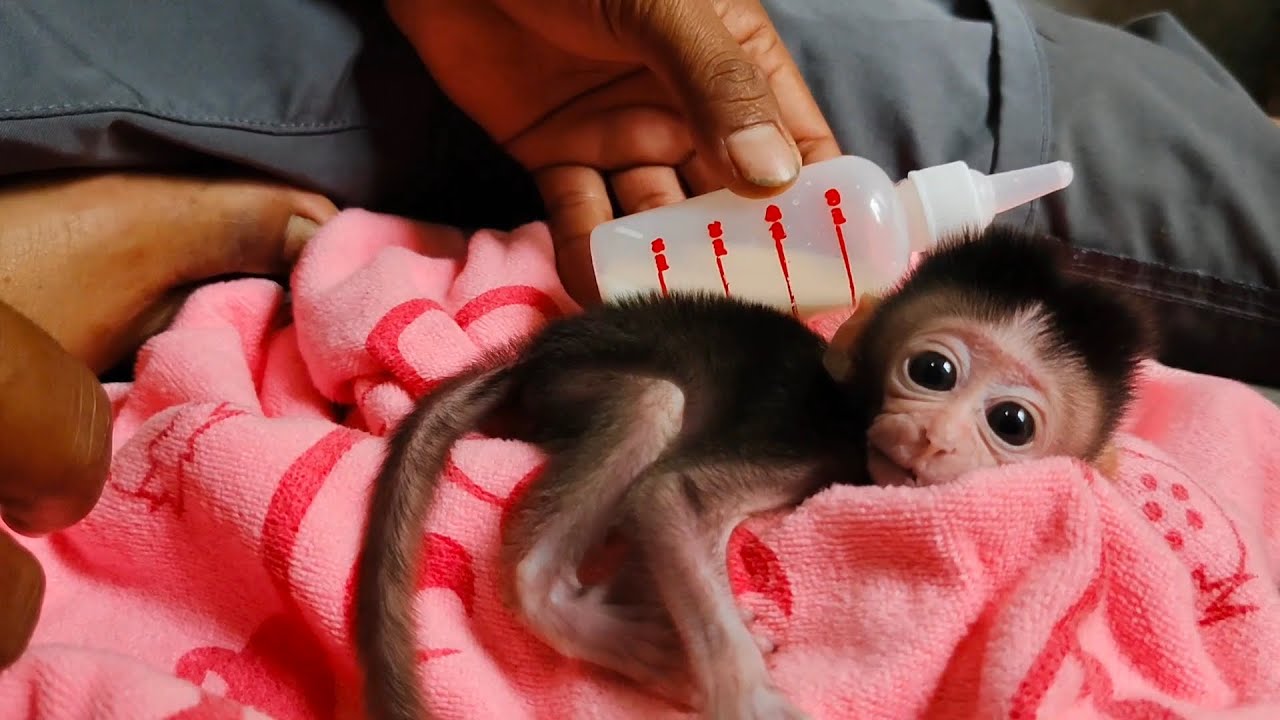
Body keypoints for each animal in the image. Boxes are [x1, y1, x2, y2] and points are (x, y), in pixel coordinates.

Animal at [353, 224, 1155, 720]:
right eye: (933, 371)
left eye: (1011, 423)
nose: (931, 438)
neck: (850, 409)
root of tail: (537, 351)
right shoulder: (811, 439)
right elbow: (671, 497)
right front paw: (747, 695)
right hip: (585, 381)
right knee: (650, 403)